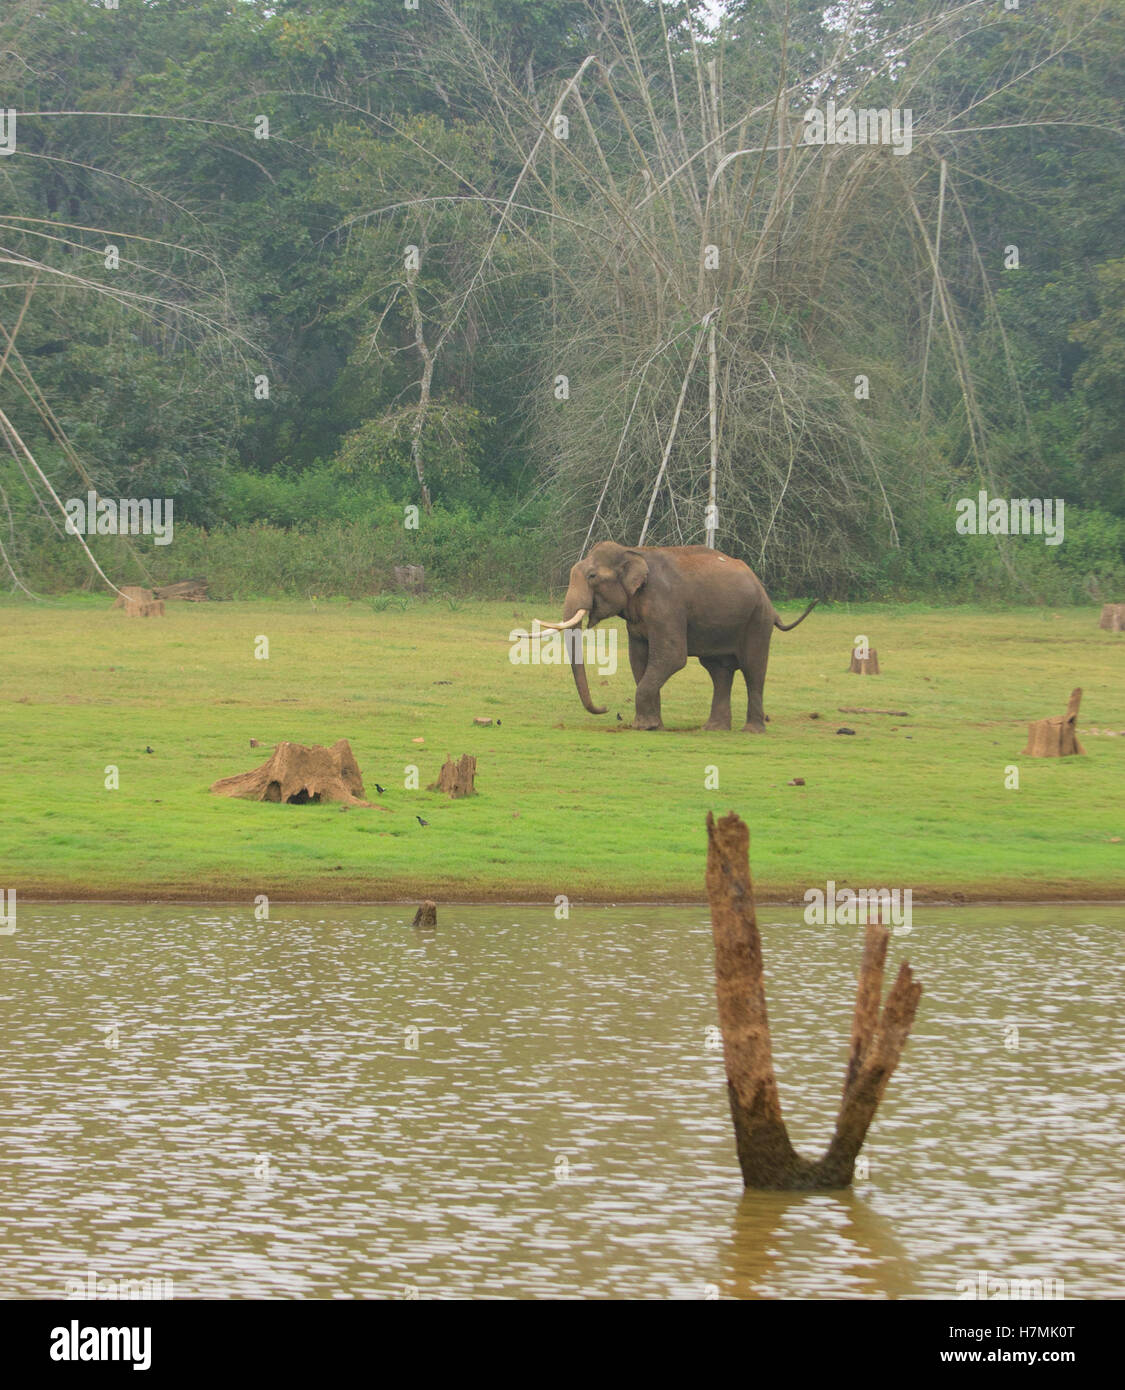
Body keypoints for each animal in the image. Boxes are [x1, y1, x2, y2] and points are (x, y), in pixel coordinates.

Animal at [537, 541, 817, 731]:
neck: (633, 550)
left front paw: (643, 726)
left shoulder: (666, 605)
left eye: (592, 576)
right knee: (719, 672)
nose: (605, 708)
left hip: (757, 620)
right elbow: (638, 659)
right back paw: (713, 728)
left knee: (753, 669)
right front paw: (652, 726)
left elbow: (671, 657)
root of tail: (768, 598)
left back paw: (752, 731)